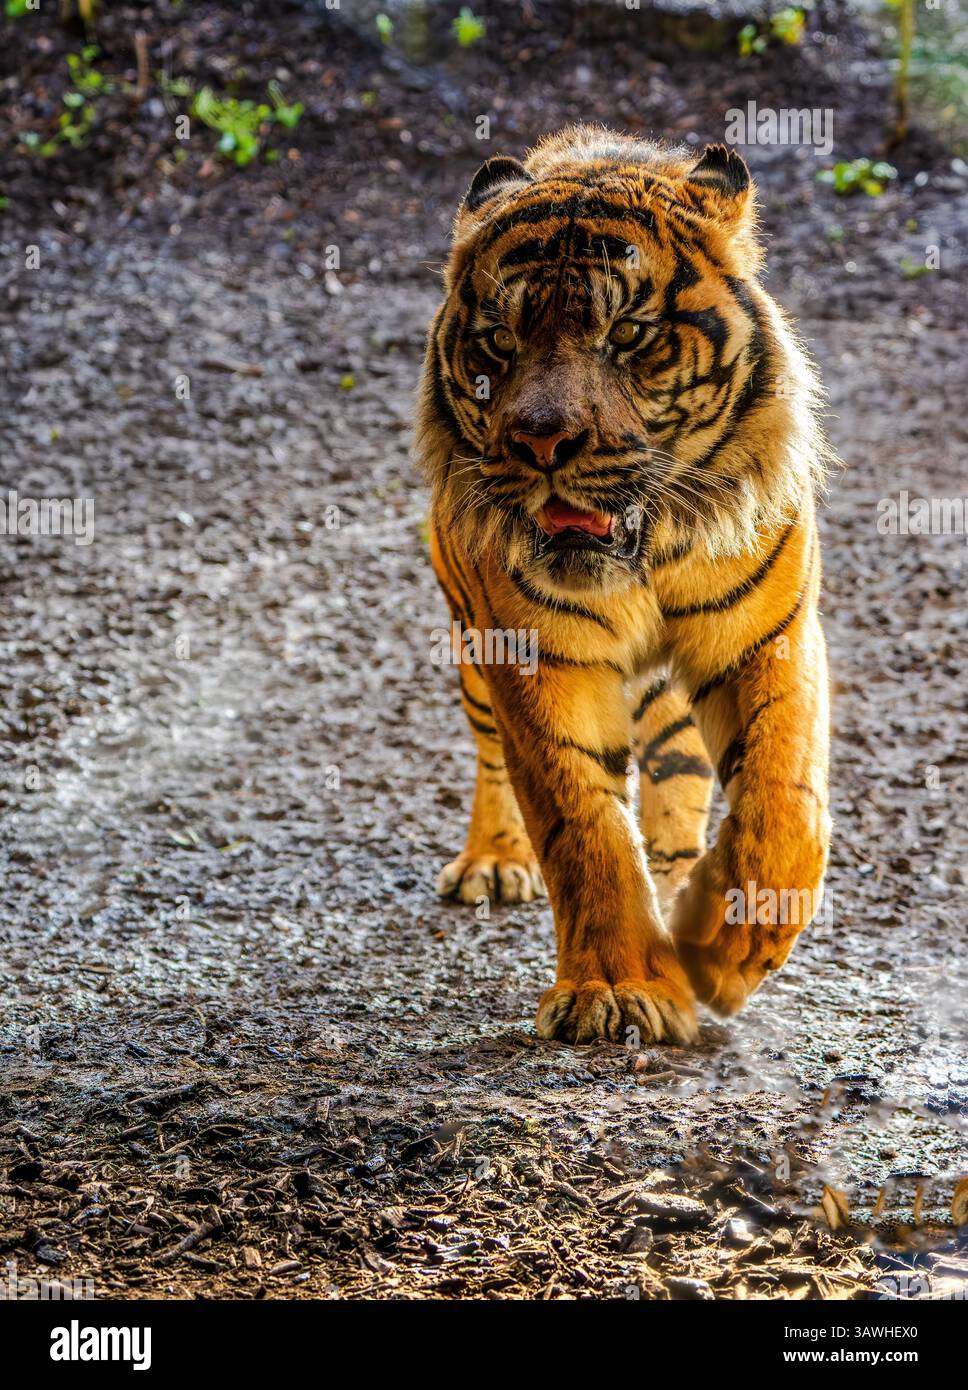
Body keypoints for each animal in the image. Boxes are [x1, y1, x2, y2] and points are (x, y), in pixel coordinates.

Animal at [416, 125, 832, 1045]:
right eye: (500, 342)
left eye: (631, 335)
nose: (542, 442)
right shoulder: (537, 659)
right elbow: (585, 828)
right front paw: (616, 988)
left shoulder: (768, 637)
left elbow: (784, 802)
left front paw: (727, 950)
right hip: (467, 636)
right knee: (493, 757)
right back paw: (494, 862)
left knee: (676, 782)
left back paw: (680, 887)